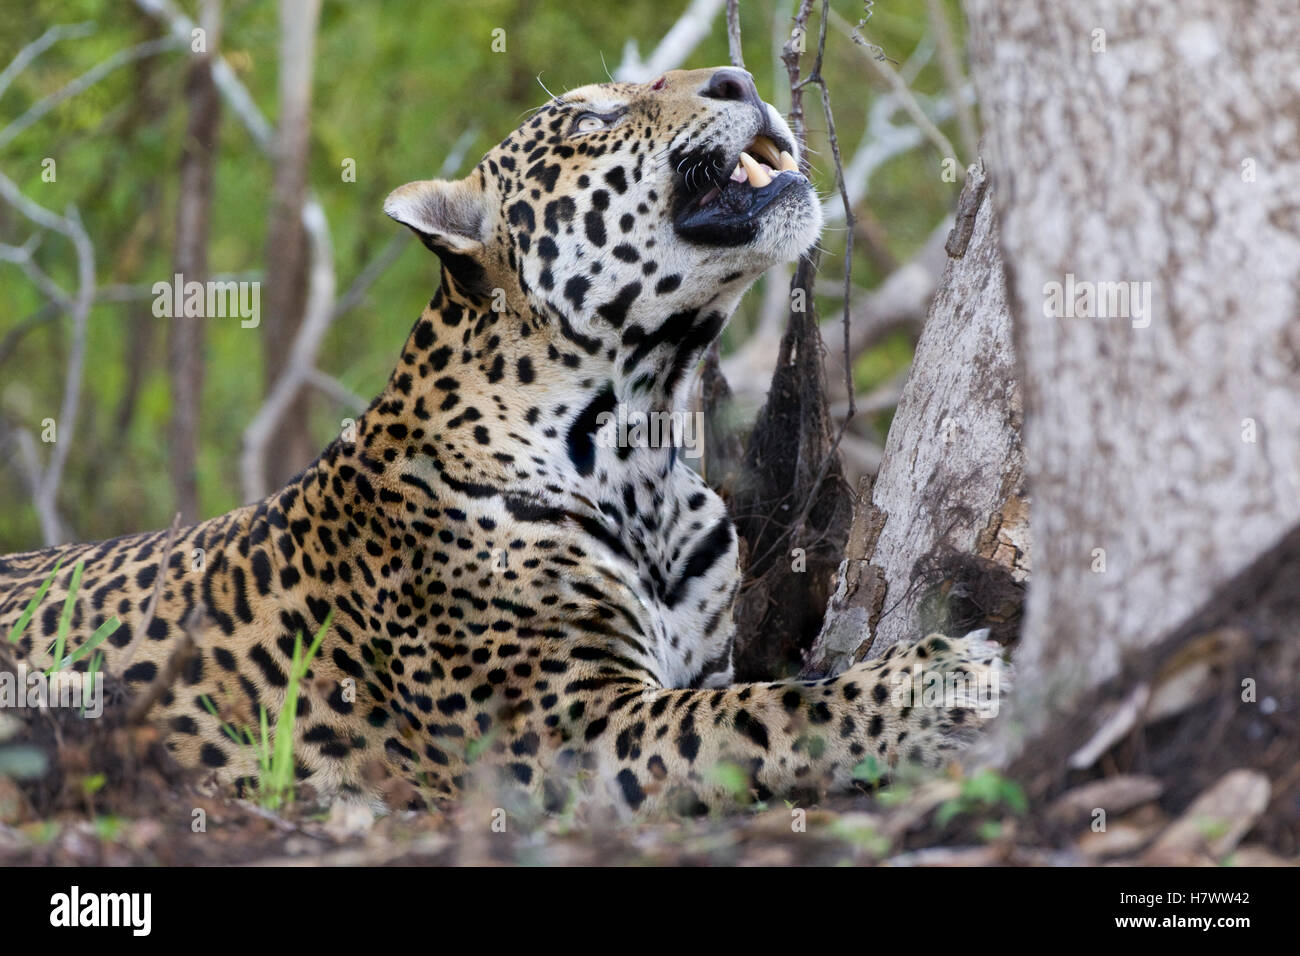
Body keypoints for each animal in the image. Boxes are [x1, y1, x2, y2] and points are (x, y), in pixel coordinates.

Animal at [0, 67, 1005, 816]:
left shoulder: (685, 659)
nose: (740, 76)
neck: (637, 437)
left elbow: (747, 689)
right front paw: (937, 680)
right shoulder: (562, 732)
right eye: (597, 115)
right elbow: (765, 711)